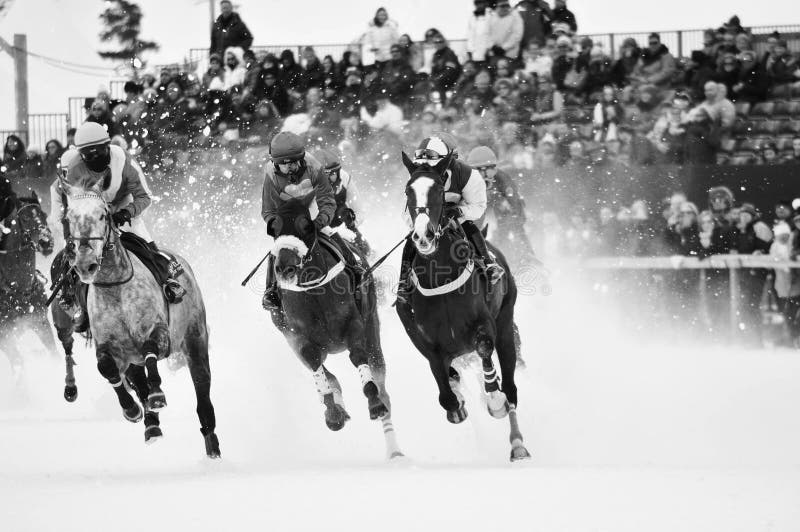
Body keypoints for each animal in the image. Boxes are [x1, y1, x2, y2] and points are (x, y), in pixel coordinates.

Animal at [0, 192, 59, 385]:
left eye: (44, 215)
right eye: (24, 218)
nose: (46, 242)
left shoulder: (40, 322)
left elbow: (54, 354)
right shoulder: (5, 338)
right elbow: (19, 365)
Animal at [62, 182, 221, 458]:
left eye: (102, 215)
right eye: (69, 218)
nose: (85, 264)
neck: (115, 286)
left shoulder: (160, 332)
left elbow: (150, 349)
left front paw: (157, 394)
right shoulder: (111, 347)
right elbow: (106, 368)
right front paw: (132, 409)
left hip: (195, 336)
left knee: (201, 383)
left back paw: (211, 441)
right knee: (138, 381)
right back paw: (151, 425)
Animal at [269, 199, 402, 459]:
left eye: (305, 226)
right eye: (273, 228)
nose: (284, 269)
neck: (314, 291)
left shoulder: (355, 325)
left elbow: (359, 358)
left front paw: (373, 402)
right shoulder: (297, 338)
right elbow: (316, 366)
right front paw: (333, 412)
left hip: (372, 330)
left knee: (382, 383)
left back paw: (395, 451)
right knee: (329, 375)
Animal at [395, 159, 531, 462]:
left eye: (437, 191)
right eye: (409, 191)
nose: (423, 235)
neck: (440, 276)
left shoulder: (485, 324)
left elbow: (485, 349)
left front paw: (493, 398)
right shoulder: (427, 343)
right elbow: (445, 390)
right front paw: (456, 403)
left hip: (506, 323)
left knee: (511, 388)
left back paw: (517, 443)